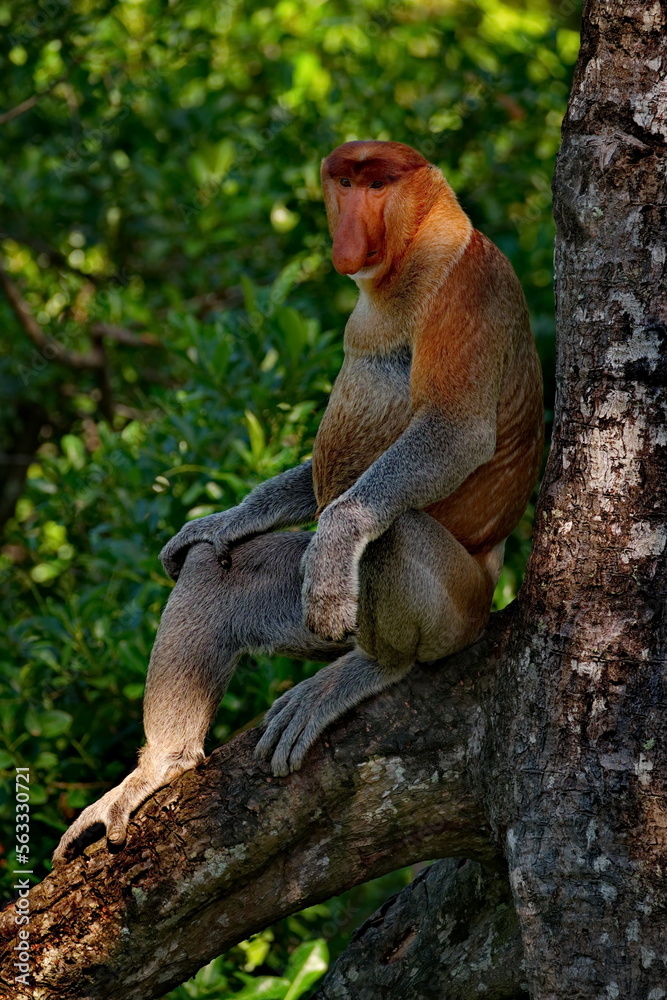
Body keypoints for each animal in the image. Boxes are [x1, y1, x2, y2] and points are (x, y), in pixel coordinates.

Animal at [53, 140, 543, 863]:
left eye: (376, 184)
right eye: (343, 183)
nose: (348, 230)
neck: (411, 256)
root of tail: (491, 582)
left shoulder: (468, 282)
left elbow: (455, 430)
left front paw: (337, 542)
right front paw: (219, 521)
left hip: (457, 607)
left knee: (390, 537)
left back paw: (370, 664)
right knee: (218, 575)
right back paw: (161, 767)